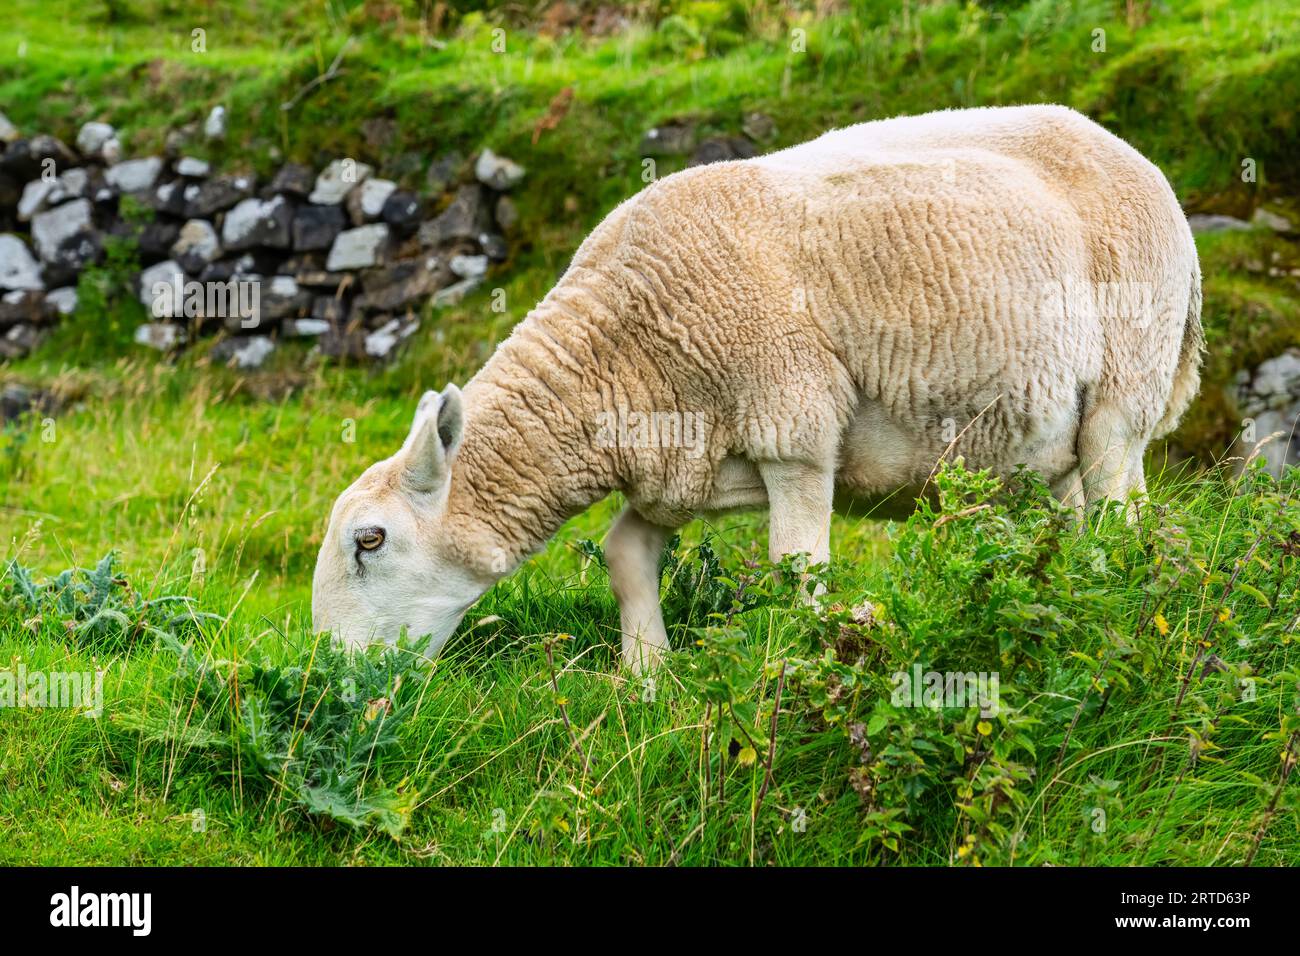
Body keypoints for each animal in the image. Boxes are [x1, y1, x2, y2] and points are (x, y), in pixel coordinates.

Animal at [312, 104, 1203, 672]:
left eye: (370, 541)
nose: (334, 680)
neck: (622, 349)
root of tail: (1141, 163)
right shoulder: (681, 462)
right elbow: (625, 553)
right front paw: (646, 676)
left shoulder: (794, 433)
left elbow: (796, 569)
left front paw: (810, 665)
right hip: (1052, 439)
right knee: (1084, 514)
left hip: (1126, 384)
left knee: (1121, 512)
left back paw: (1113, 602)